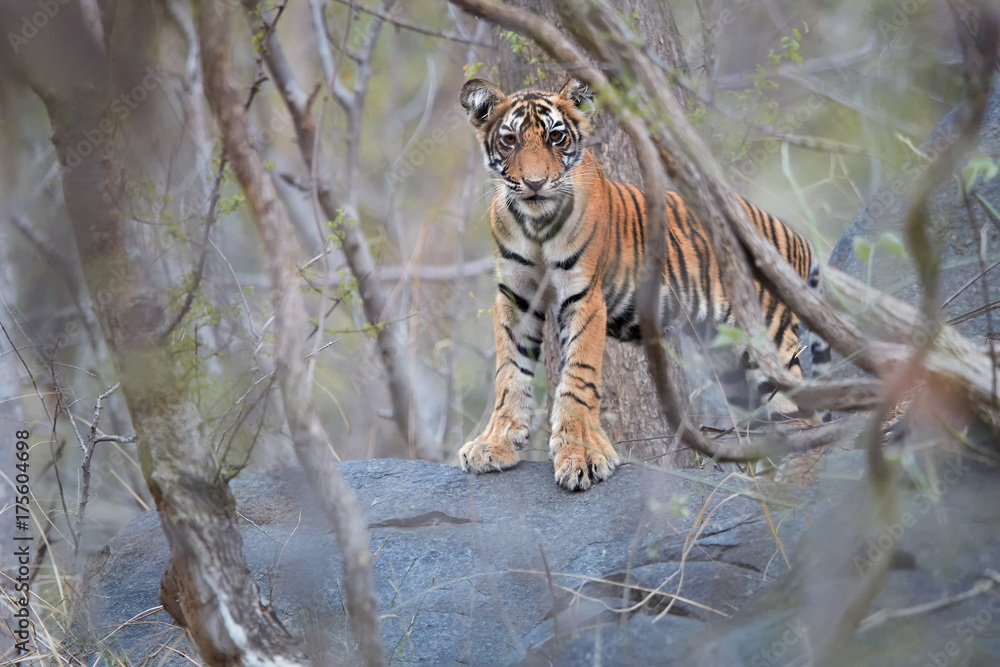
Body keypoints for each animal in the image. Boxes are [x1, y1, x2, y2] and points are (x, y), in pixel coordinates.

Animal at [457, 77, 831, 491]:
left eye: (556, 137)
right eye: (509, 140)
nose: (535, 183)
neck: (536, 223)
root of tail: (797, 237)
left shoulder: (584, 297)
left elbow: (578, 376)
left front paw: (582, 455)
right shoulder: (516, 296)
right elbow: (510, 372)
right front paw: (495, 444)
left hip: (768, 346)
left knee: (807, 424)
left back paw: (793, 491)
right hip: (731, 365)